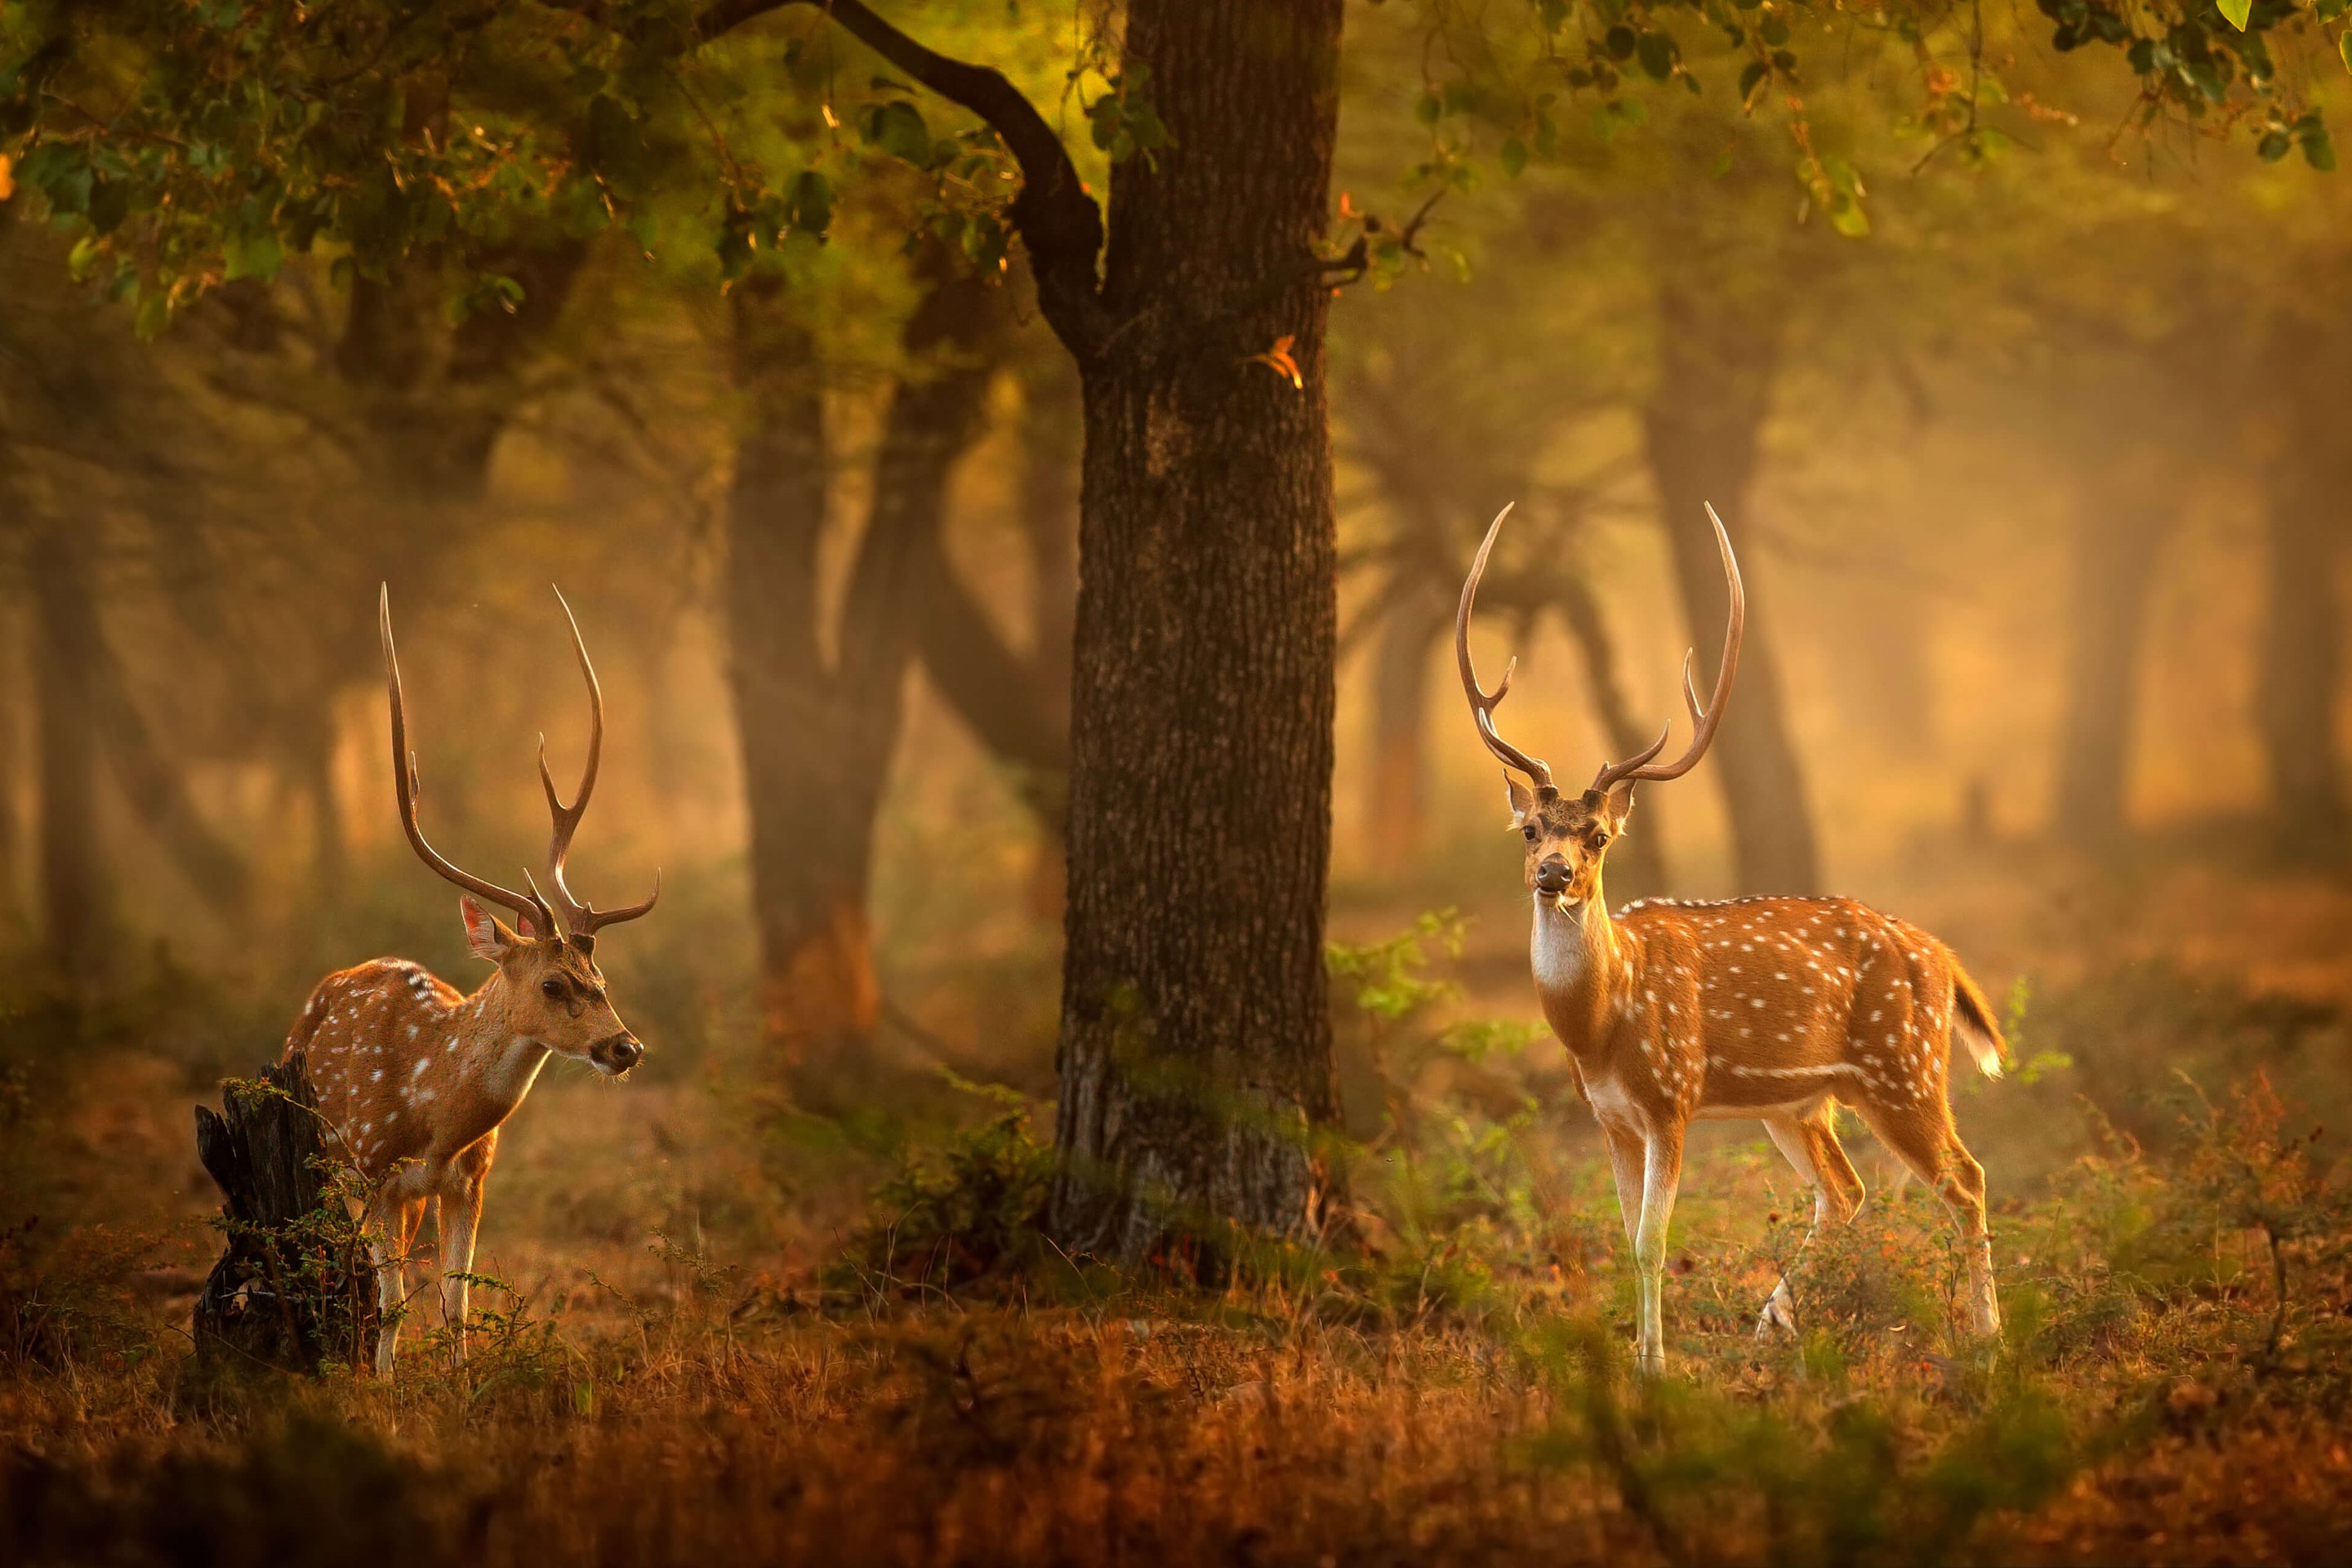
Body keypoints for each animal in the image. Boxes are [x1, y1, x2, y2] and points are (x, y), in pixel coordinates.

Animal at [281, 585, 659, 1375]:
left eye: (600, 975)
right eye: (552, 984)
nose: (626, 1048)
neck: (434, 1118)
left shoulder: (471, 1179)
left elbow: (456, 1304)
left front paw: (459, 1388)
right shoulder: (372, 1169)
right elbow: (392, 1301)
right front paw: (383, 1391)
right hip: (321, 1157)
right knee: (345, 1267)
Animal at [1455, 503, 2005, 1373]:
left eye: (1600, 836)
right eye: (1531, 828)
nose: (1553, 873)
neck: (1601, 1025)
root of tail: (1942, 957)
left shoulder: (1671, 1097)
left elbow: (1652, 1241)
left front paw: (1653, 1368)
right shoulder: (1608, 1116)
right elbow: (1627, 1240)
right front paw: (1645, 1354)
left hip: (1904, 1067)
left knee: (1966, 1177)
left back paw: (1988, 1336)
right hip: (1803, 1100)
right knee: (1846, 1190)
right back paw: (1771, 1325)